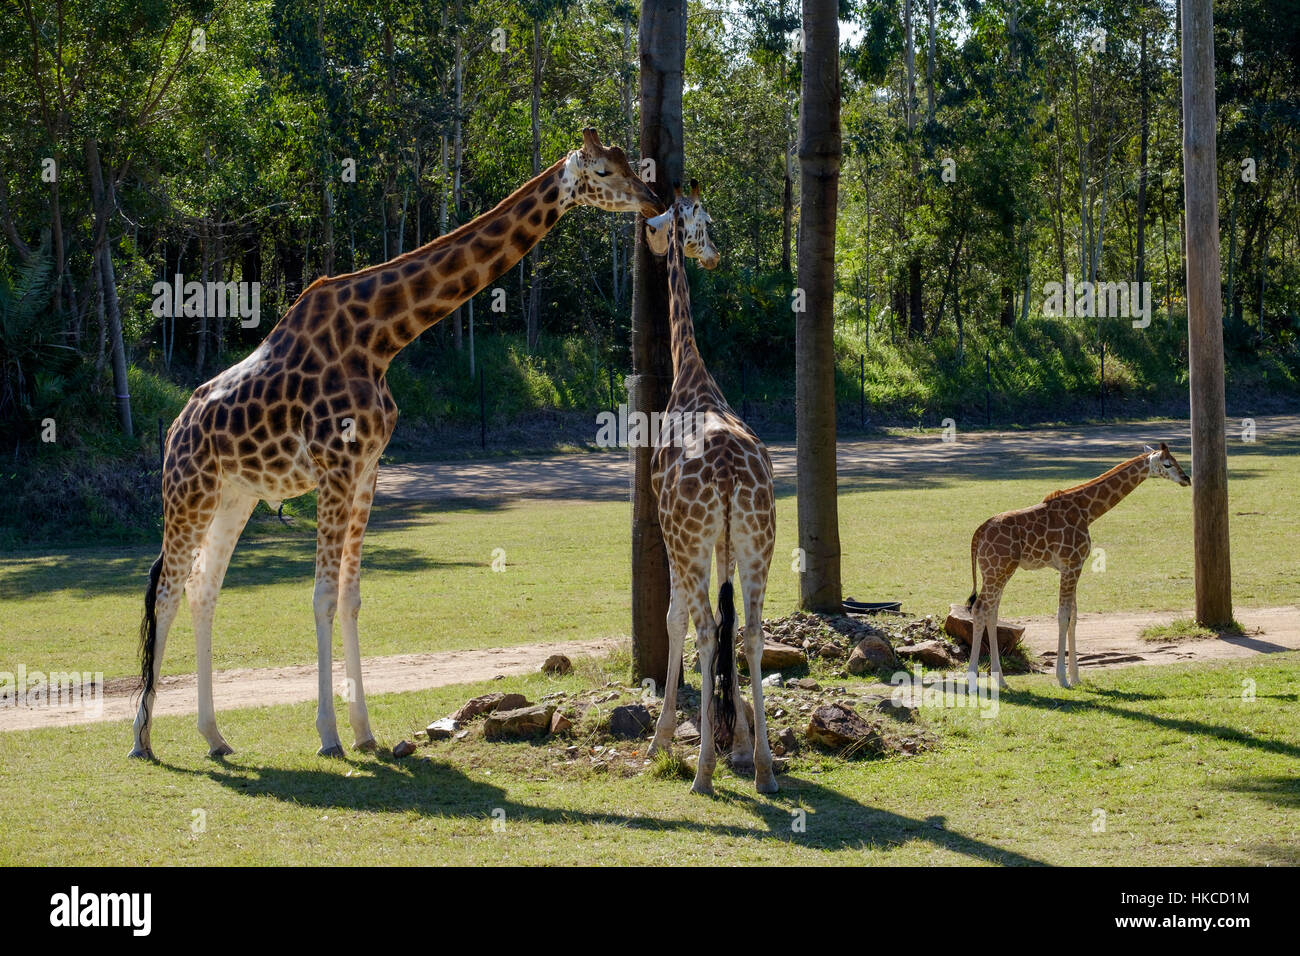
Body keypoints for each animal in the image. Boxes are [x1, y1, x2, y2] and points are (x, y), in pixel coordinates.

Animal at [130, 129, 661, 760]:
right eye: (604, 170)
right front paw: (329, 736)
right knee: (166, 589)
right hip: (188, 492)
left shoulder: (367, 470)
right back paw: (142, 739)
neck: (381, 337)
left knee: (202, 590)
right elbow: (321, 596)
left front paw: (364, 731)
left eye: (629, 161)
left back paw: (214, 736)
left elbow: (351, 597)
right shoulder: (335, 468)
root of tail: (172, 430)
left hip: (235, 496)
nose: (655, 201)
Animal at [966, 442, 1191, 690]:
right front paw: (1062, 678)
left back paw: (1001, 680)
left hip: (999, 571)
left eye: (1176, 461)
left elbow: (1073, 616)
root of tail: (979, 532)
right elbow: (1063, 616)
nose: (1187, 479)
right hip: (996, 570)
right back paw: (972, 678)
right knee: (980, 609)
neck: (1087, 511)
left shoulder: (1073, 567)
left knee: (992, 612)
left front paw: (1075, 676)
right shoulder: (1071, 565)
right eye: (1167, 464)